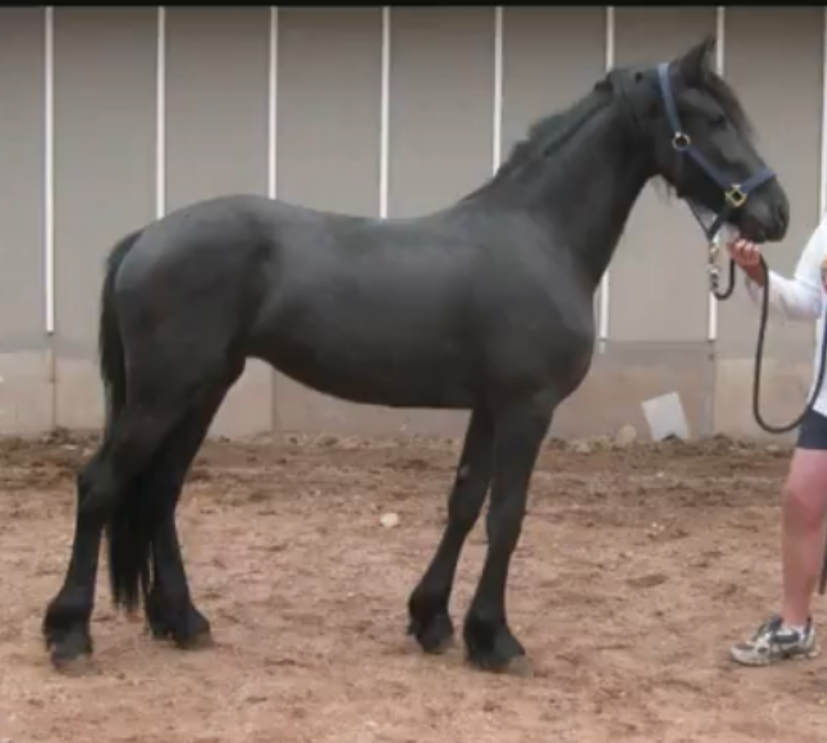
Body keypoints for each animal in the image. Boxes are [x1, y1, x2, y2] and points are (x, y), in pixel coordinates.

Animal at [42, 35, 789, 675]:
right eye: (710, 118)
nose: (775, 213)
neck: (539, 235)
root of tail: (145, 237)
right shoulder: (527, 407)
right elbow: (507, 514)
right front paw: (496, 638)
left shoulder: (489, 406)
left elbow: (464, 502)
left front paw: (434, 621)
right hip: (164, 392)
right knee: (101, 484)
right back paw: (70, 632)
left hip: (204, 389)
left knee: (161, 490)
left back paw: (183, 620)